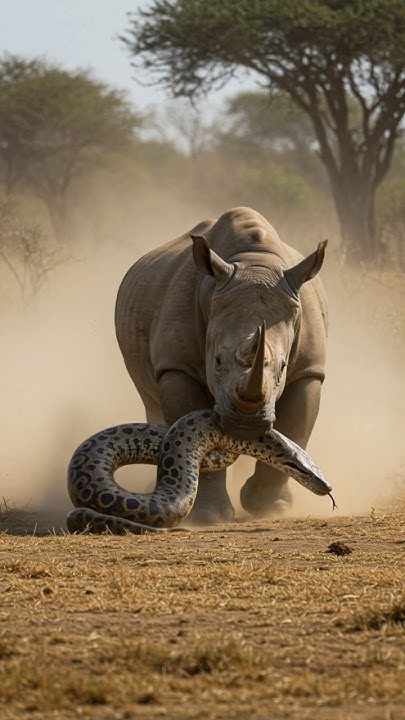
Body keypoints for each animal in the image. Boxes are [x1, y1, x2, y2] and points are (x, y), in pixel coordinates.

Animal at [115, 206, 328, 523]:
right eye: (216, 361)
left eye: (282, 366)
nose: (245, 423)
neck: (255, 264)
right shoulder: (178, 366)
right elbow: (190, 433)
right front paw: (208, 517)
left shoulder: (308, 370)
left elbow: (296, 428)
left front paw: (269, 507)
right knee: (152, 402)